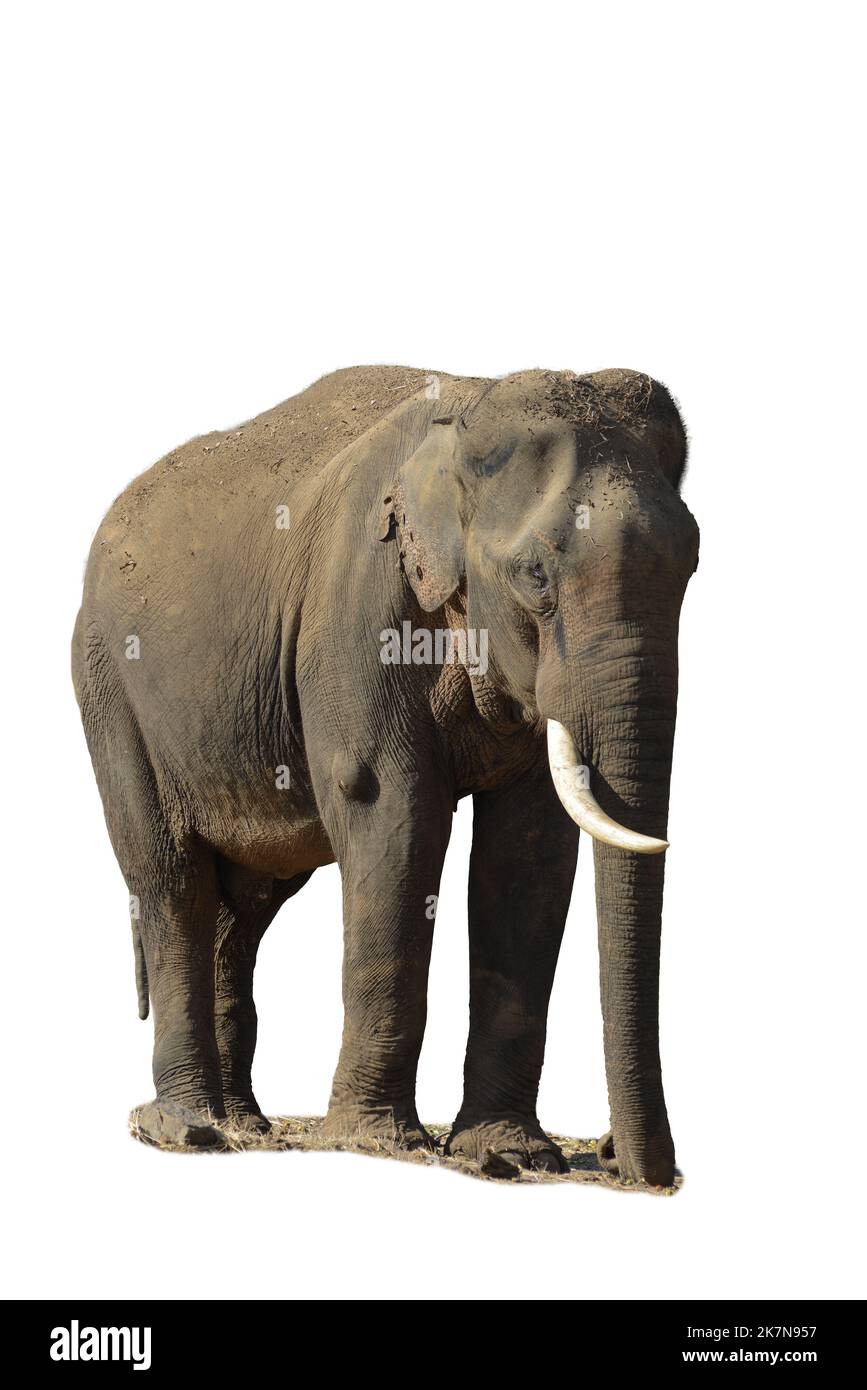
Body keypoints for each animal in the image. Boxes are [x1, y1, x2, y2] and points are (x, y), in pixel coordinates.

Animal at [72, 363, 699, 1184]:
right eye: (535, 574)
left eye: (691, 565)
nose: (619, 1159)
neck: (466, 413)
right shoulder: (357, 611)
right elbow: (393, 815)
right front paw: (375, 1143)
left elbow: (528, 852)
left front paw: (507, 1154)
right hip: (111, 692)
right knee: (170, 879)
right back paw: (186, 1128)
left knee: (244, 903)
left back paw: (246, 1127)